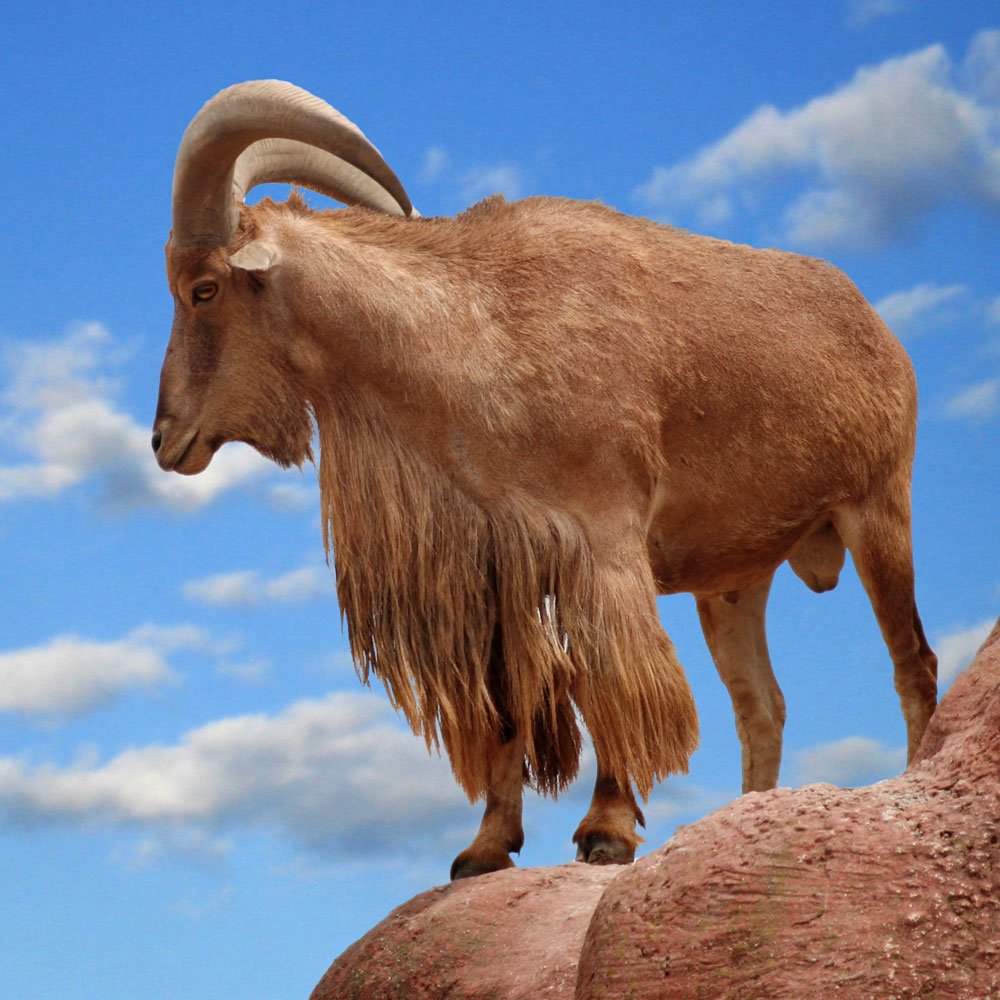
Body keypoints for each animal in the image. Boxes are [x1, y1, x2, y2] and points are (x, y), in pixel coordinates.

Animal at [153, 80, 938, 878]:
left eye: (204, 289)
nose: (163, 439)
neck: (475, 329)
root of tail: (879, 329)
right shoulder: (498, 566)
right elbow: (510, 704)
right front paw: (485, 847)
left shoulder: (605, 542)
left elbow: (611, 678)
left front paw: (606, 832)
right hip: (734, 584)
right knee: (763, 706)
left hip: (879, 511)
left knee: (914, 662)